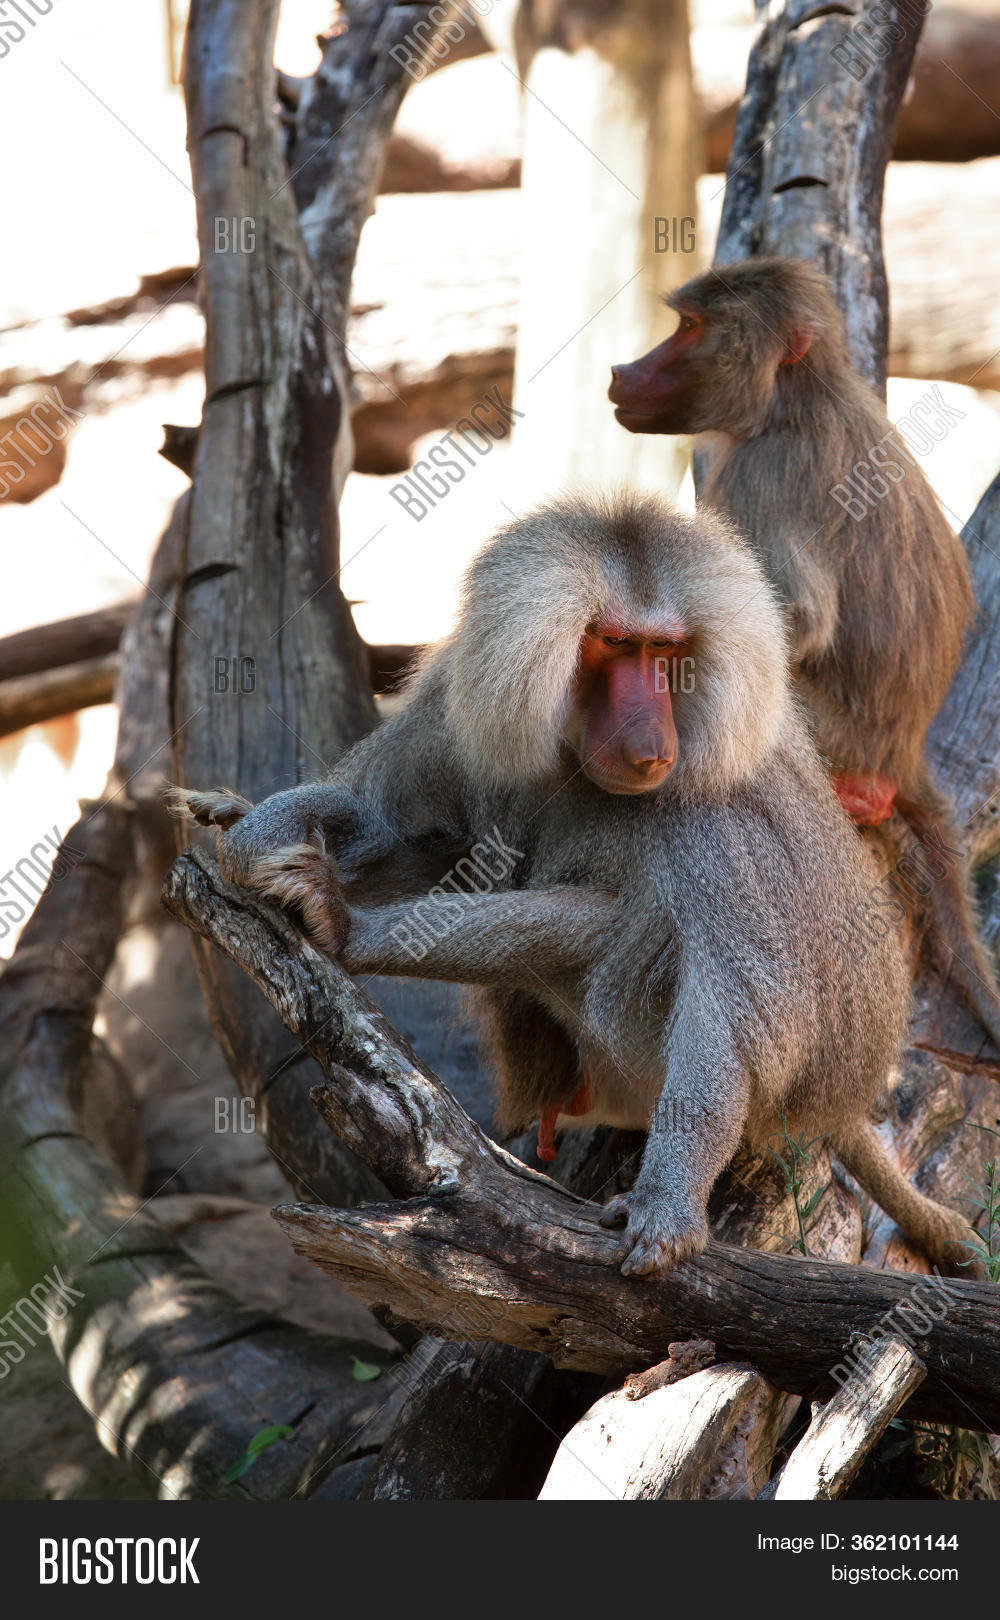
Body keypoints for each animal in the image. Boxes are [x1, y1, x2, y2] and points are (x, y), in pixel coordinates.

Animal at [170, 493, 978, 1279]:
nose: (652, 744)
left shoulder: (715, 819)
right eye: (617, 644)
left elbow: (731, 1015)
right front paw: (258, 825)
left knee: (609, 928)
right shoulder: (454, 712)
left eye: (667, 651)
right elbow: (395, 829)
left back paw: (345, 930)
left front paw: (666, 1211)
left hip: (644, 1068)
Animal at [607, 257, 1000, 1051]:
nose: (623, 373)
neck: (794, 398)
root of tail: (905, 751)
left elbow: (794, 622)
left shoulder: (764, 472)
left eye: (689, 327)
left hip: (840, 735)